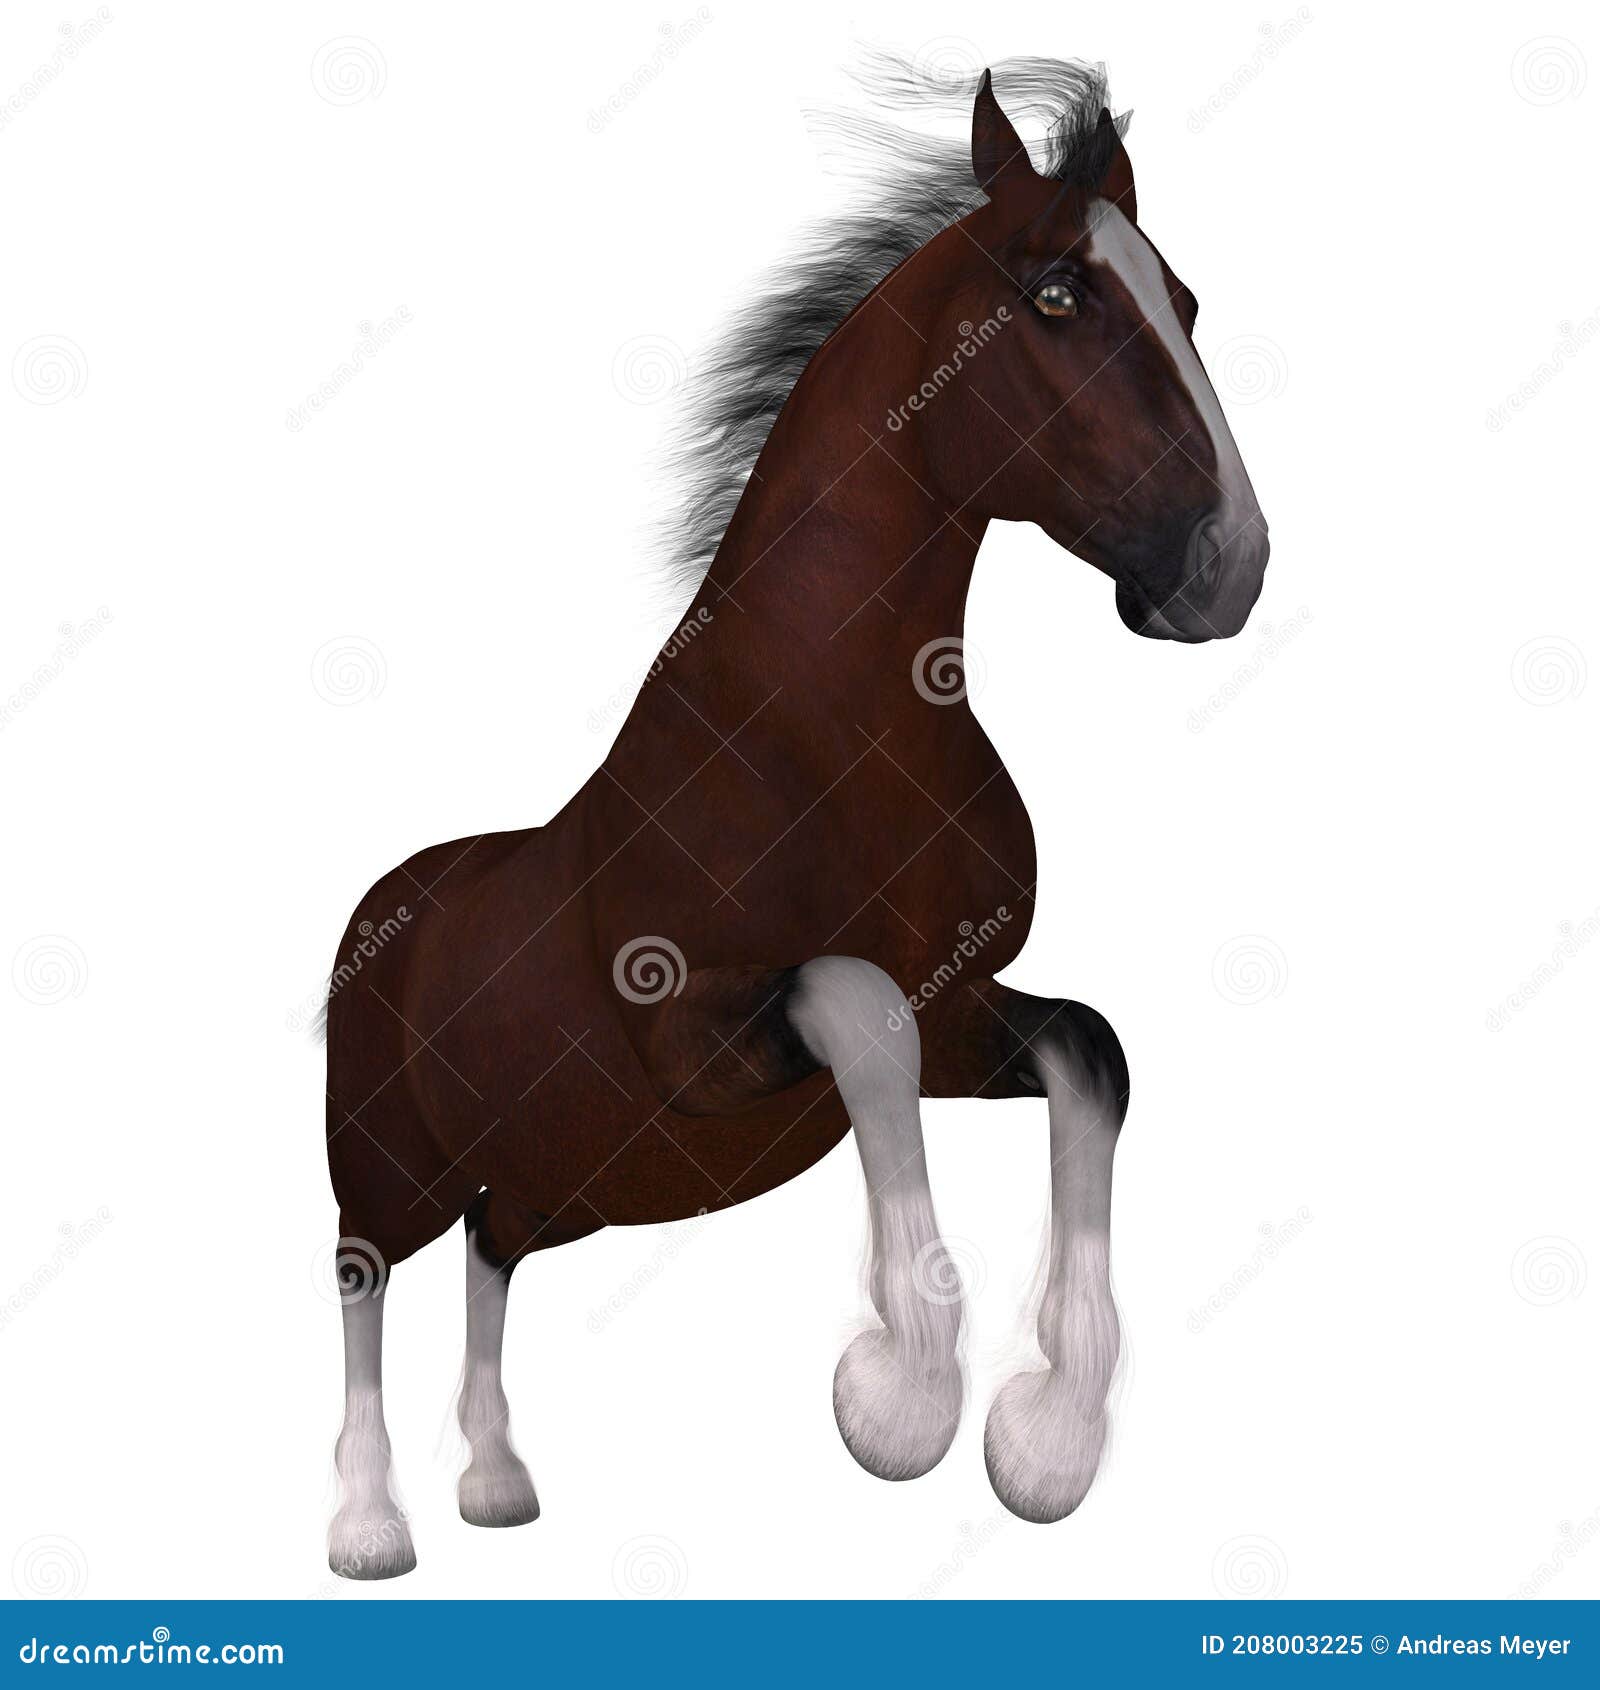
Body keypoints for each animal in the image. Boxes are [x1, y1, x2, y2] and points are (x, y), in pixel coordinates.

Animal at [321, 55, 1269, 1579]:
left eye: (1181, 301)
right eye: (1059, 294)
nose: (1226, 561)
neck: (832, 732)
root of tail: (383, 905)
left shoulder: (966, 1010)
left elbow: (1092, 1052)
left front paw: (1045, 1443)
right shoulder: (705, 1034)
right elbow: (860, 1011)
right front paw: (898, 1397)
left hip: (536, 1180)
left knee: (486, 1262)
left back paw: (498, 1485)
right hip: (384, 1167)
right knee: (360, 1283)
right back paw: (368, 1527)